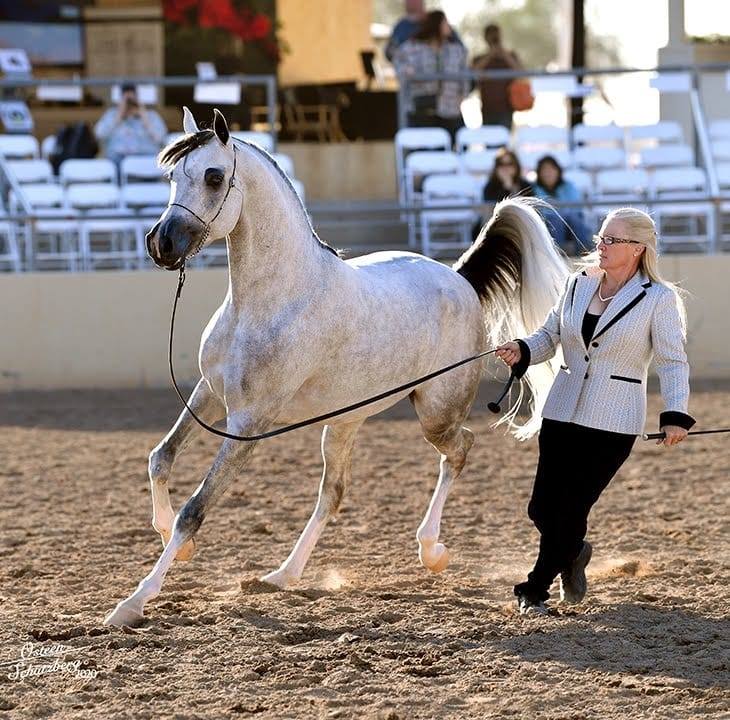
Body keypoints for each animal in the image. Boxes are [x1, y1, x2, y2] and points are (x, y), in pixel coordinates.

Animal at [103, 107, 569, 626]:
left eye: (213, 176)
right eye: (171, 176)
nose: (161, 244)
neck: (272, 301)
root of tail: (459, 278)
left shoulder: (248, 424)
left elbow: (195, 509)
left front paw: (132, 602)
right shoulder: (209, 393)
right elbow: (160, 459)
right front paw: (170, 543)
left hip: (434, 413)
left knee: (461, 448)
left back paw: (432, 552)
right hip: (344, 422)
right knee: (334, 492)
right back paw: (281, 576)